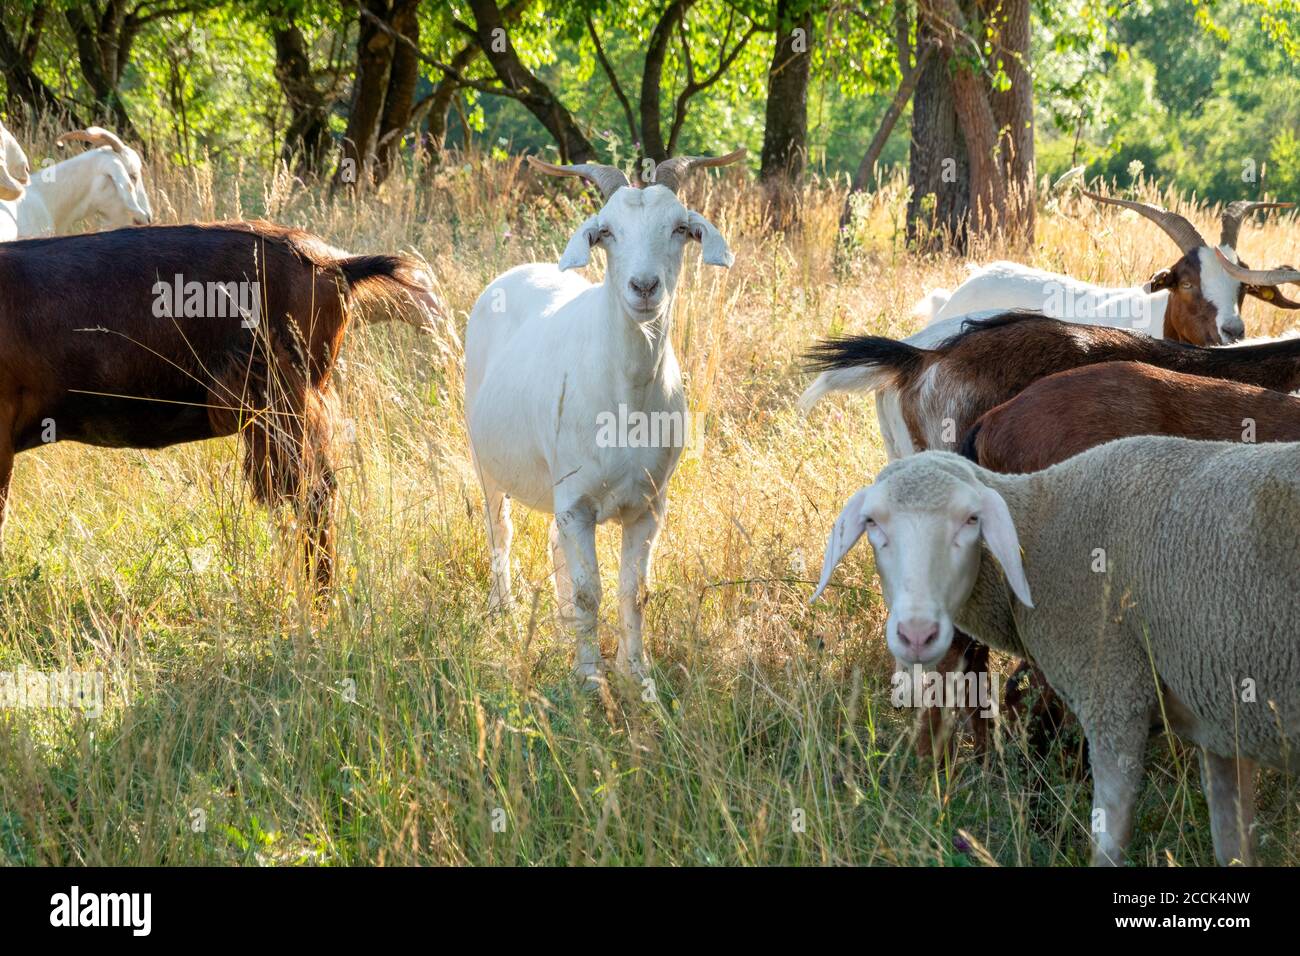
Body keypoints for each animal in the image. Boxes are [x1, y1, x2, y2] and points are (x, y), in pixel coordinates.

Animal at [465, 149, 743, 684]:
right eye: (607, 231)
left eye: (680, 227)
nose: (644, 286)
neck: (626, 401)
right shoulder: (576, 503)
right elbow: (587, 591)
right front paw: (590, 677)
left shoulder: (648, 506)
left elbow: (633, 593)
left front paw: (638, 676)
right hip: (486, 460)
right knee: (499, 531)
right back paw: (501, 609)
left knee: (553, 543)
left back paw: (558, 628)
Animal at [812, 440, 1300, 865]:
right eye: (873, 523)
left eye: (971, 520)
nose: (917, 634)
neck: (1042, 522)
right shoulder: (1222, 718)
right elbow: (1232, 844)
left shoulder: (1114, 695)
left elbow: (1109, 840)